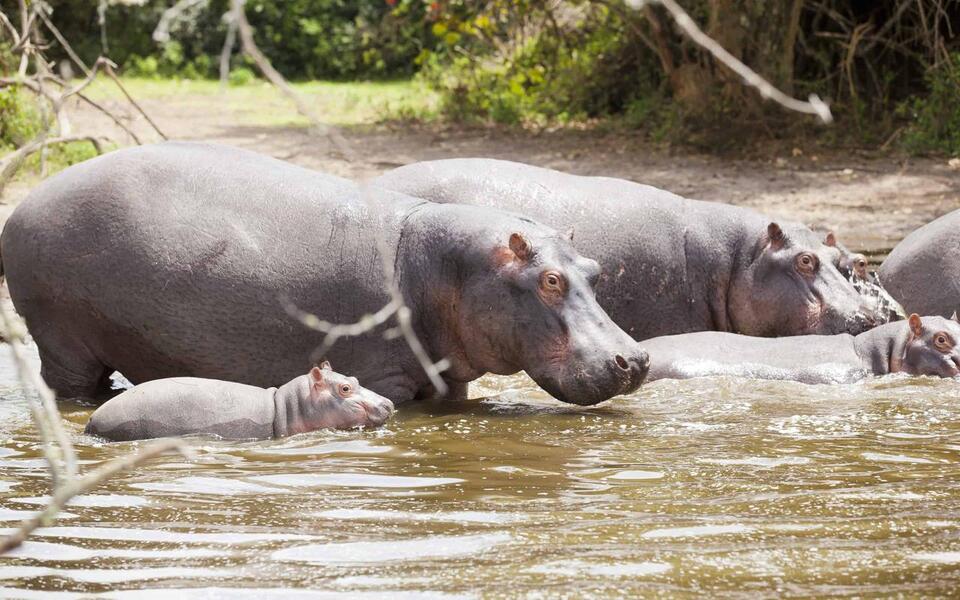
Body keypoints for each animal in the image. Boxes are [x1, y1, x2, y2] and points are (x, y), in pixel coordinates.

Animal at [1, 143, 648, 406]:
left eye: (593, 269)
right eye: (549, 281)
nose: (637, 359)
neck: (443, 266)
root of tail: (24, 204)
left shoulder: (448, 382)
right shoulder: (385, 378)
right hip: (62, 342)